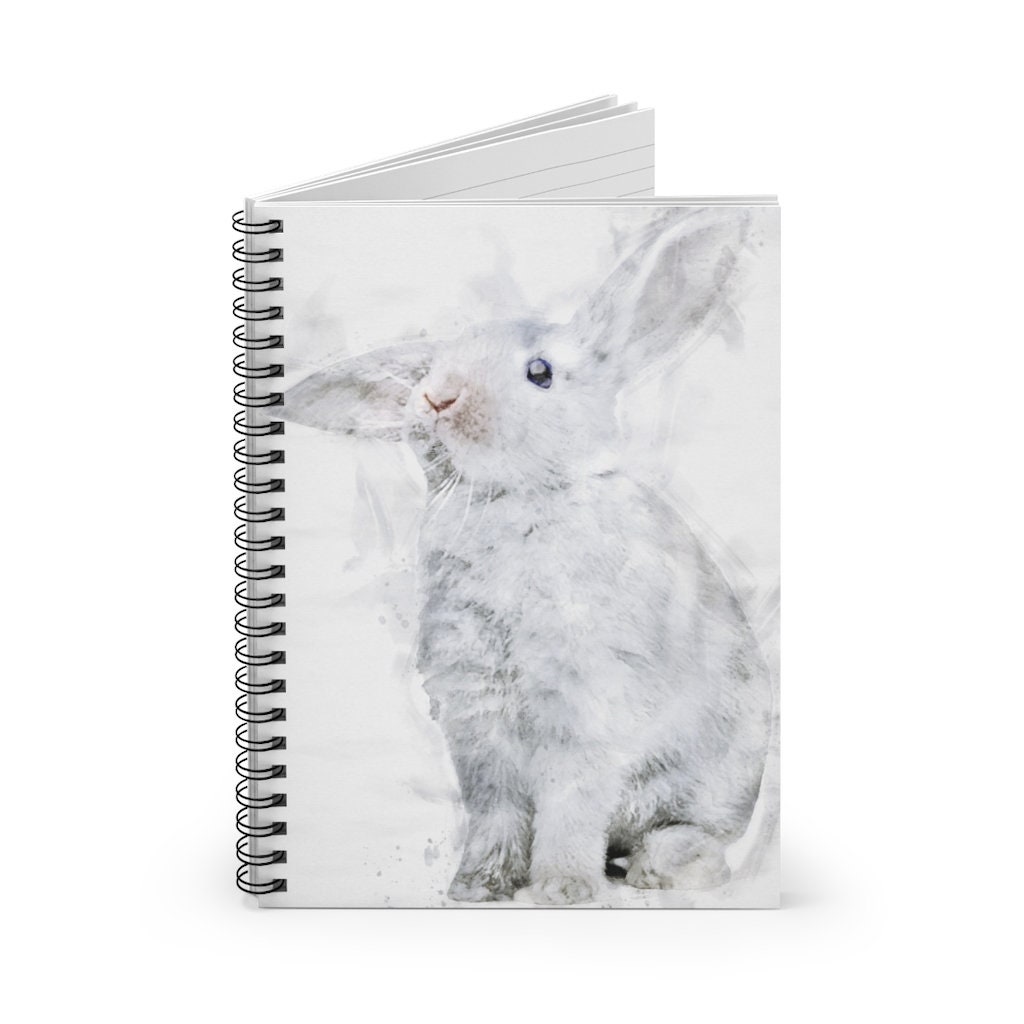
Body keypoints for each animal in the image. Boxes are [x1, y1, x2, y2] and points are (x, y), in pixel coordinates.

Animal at [280, 208, 773, 905]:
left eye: (540, 372)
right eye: (432, 368)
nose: (437, 397)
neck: (514, 497)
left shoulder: (583, 710)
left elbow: (570, 806)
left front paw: (562, 889)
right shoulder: (478, 728)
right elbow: (496, 813)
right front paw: (476, 886)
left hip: (703, 790)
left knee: (694, 840)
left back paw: (659, 871)